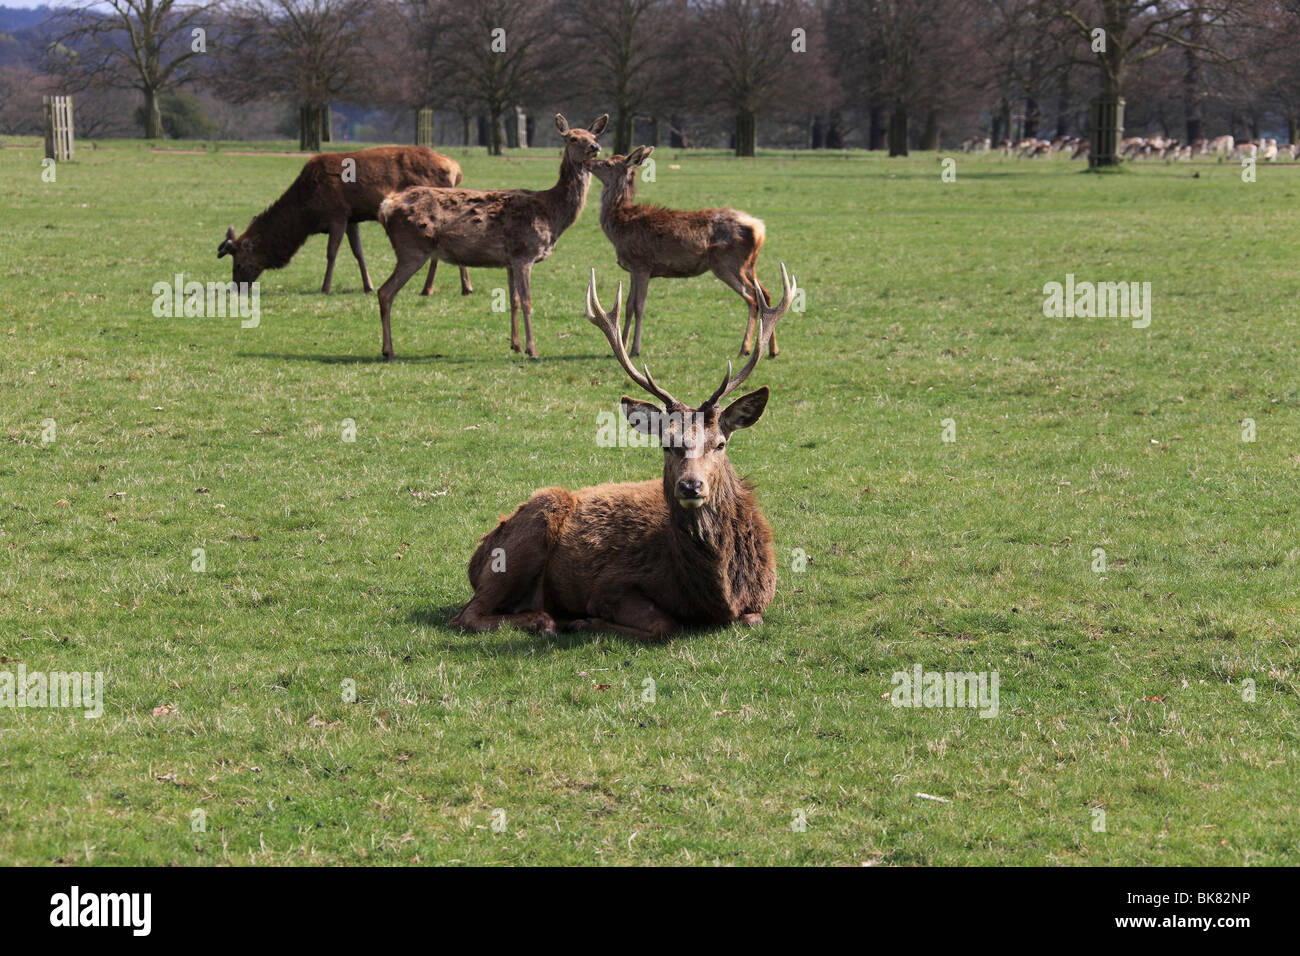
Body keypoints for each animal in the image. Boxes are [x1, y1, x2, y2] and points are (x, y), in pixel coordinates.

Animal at [217, 146, 471, 297]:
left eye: (238, 264)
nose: (236, 287)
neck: (307, 210)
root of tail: (456, 169)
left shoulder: (337, 213)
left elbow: (332, 253)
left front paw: (325, 287)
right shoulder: (352, 217)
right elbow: (358, 252)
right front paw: (368, 286)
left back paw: (444, 288)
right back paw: (449, 287)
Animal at [374, 114, 608, 360]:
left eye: (594, 136)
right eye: (573, 138)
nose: (595, 147)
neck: (551, 214)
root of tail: (386, 206)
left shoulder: (510, 260)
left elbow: (513, 301)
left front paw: (515, 345)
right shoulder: (525, 253)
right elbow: (527, 302)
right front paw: (532, 350)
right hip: (412, 248)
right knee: (385, 292)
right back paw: (389, 350)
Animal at [449, 264, 795, 641]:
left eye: (720, 443)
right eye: (666, 443)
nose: (691, 486)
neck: (716, 596)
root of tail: (475, 558)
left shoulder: (763, 595)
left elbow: (751, 618)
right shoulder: (610, 586)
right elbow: (664, 626)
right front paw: (584, 621)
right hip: (525, 534)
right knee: (467, 614)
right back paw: (545, 621)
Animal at [589, 146, 776, 360]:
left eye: (608, 163)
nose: (588, 161)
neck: (620, 225)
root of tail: (759, 229)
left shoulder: (642, 265)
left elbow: (639, 306)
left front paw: (635, 349)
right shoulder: (632, 269)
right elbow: (627, 306)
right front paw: (622, 346)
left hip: (727, 263)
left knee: (752, 297)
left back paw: (744, 348)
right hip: (748, 266)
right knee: (766, 295)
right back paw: (772, 350)